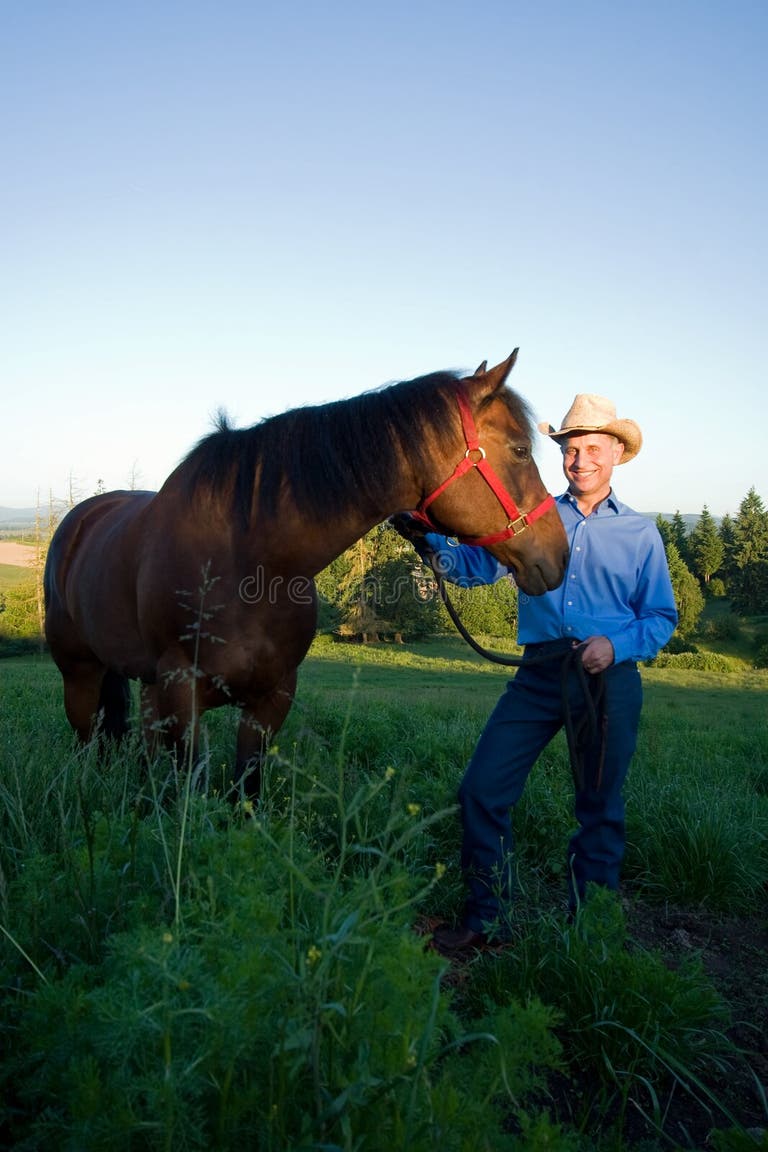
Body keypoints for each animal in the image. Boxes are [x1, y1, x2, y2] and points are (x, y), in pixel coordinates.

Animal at [44, 350, 568, 795]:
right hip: (82, 676)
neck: (249, 561)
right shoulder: (183, 693)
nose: (559, 555)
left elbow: (245, 790)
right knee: (87, 743)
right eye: (521, 451)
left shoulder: (270, 699)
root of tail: (80, 519)